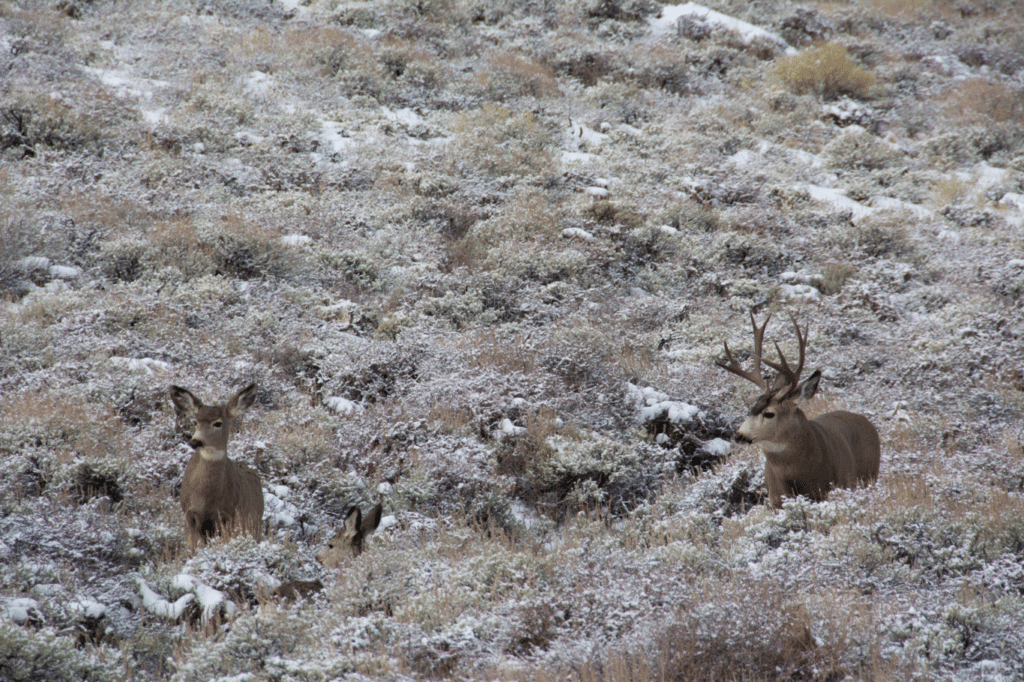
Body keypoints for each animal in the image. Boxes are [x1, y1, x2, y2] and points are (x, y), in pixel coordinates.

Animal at [169, 383, 265, 547]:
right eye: (195, 422)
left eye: (218, 423)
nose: (195, 441)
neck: (206, 499)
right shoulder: (189, 513)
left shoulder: (228, 516)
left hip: (253, 524)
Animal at [716, 312, 880, 508]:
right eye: (750, 409)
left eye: (769, 413)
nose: (739, 435)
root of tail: (866, 422)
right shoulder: (774, 500)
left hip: (870, 477)